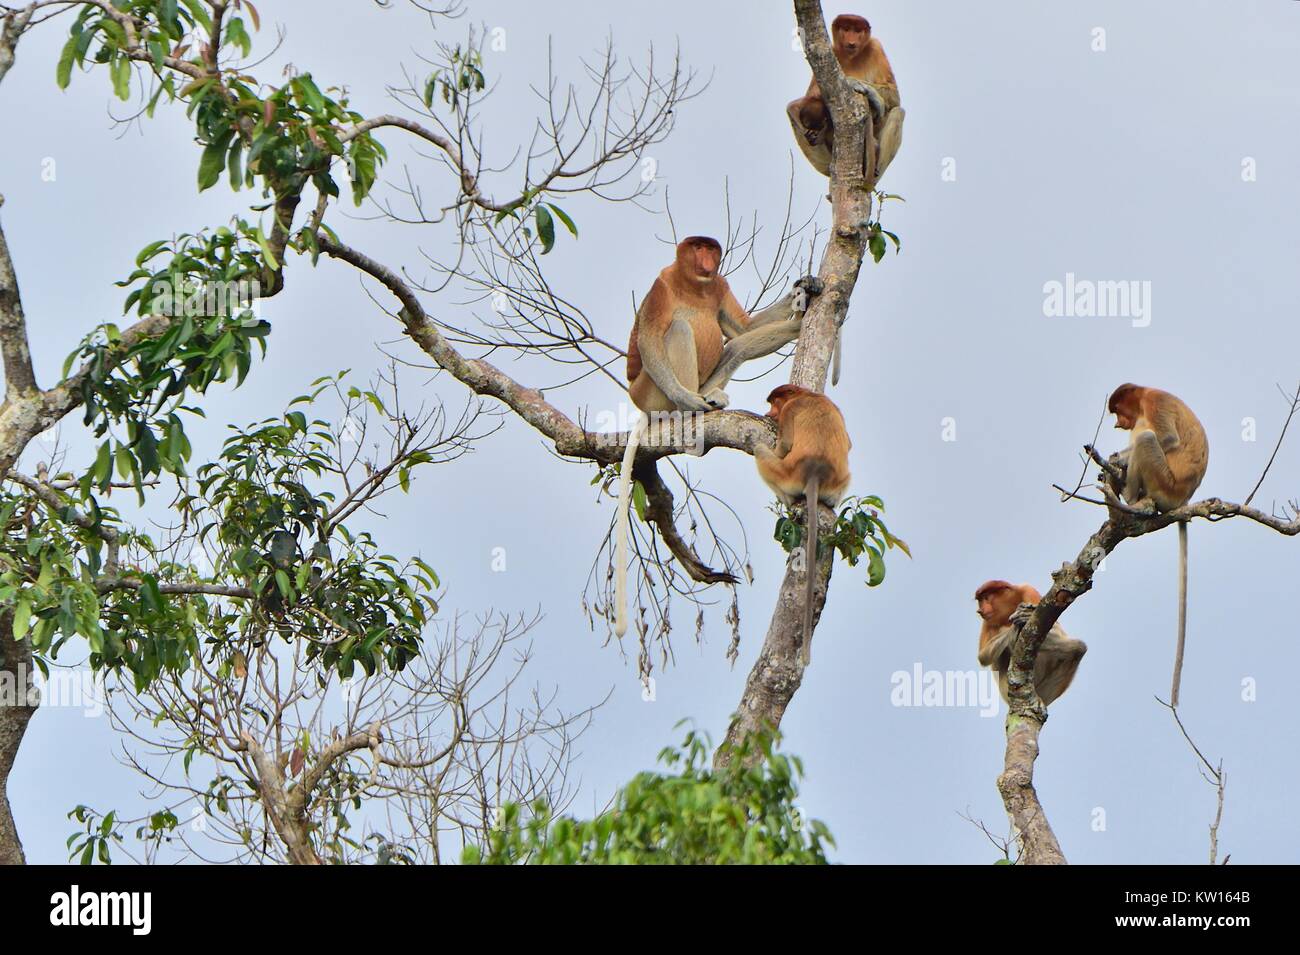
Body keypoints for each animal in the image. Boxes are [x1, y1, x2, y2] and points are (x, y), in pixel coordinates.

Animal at [613, 238, 823, 638]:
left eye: (712, 250)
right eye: (698, 248)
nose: (708, 260)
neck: (694, 284)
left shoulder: (719, 285)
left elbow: (742, 327)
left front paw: (805, 288)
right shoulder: (661, 287)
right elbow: (650, 339)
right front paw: (687, 401)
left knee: (735, 346)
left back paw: (716, 394)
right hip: (650, 390)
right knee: (678, 329)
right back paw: (688, 409)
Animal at [754, 384, 852, 665]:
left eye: (775, 403)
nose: (770, 413)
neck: (805, 395)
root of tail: (814, 472)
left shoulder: (790, 410)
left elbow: (784, 445)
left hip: (783, 473)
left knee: (760, 450)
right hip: (842, 481)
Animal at [787, 14, 904, 183]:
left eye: (857, 30)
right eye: (847, 29)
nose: (851, 41)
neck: (851, 57)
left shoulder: (876, 47)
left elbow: (895, 96)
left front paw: (864, 88)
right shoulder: (828, 53)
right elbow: (811, 96)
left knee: (898, 113)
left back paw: (873, 174)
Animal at [1107, 383, 1209, 708]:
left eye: (1117, 410)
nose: (1118, 423)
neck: (1142, 396)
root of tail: (1184, 498)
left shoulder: (1155, 402)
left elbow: (1167, 439)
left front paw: (1116, 458)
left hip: (1164, 481)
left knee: (1147, 438)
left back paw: (1128, 496)